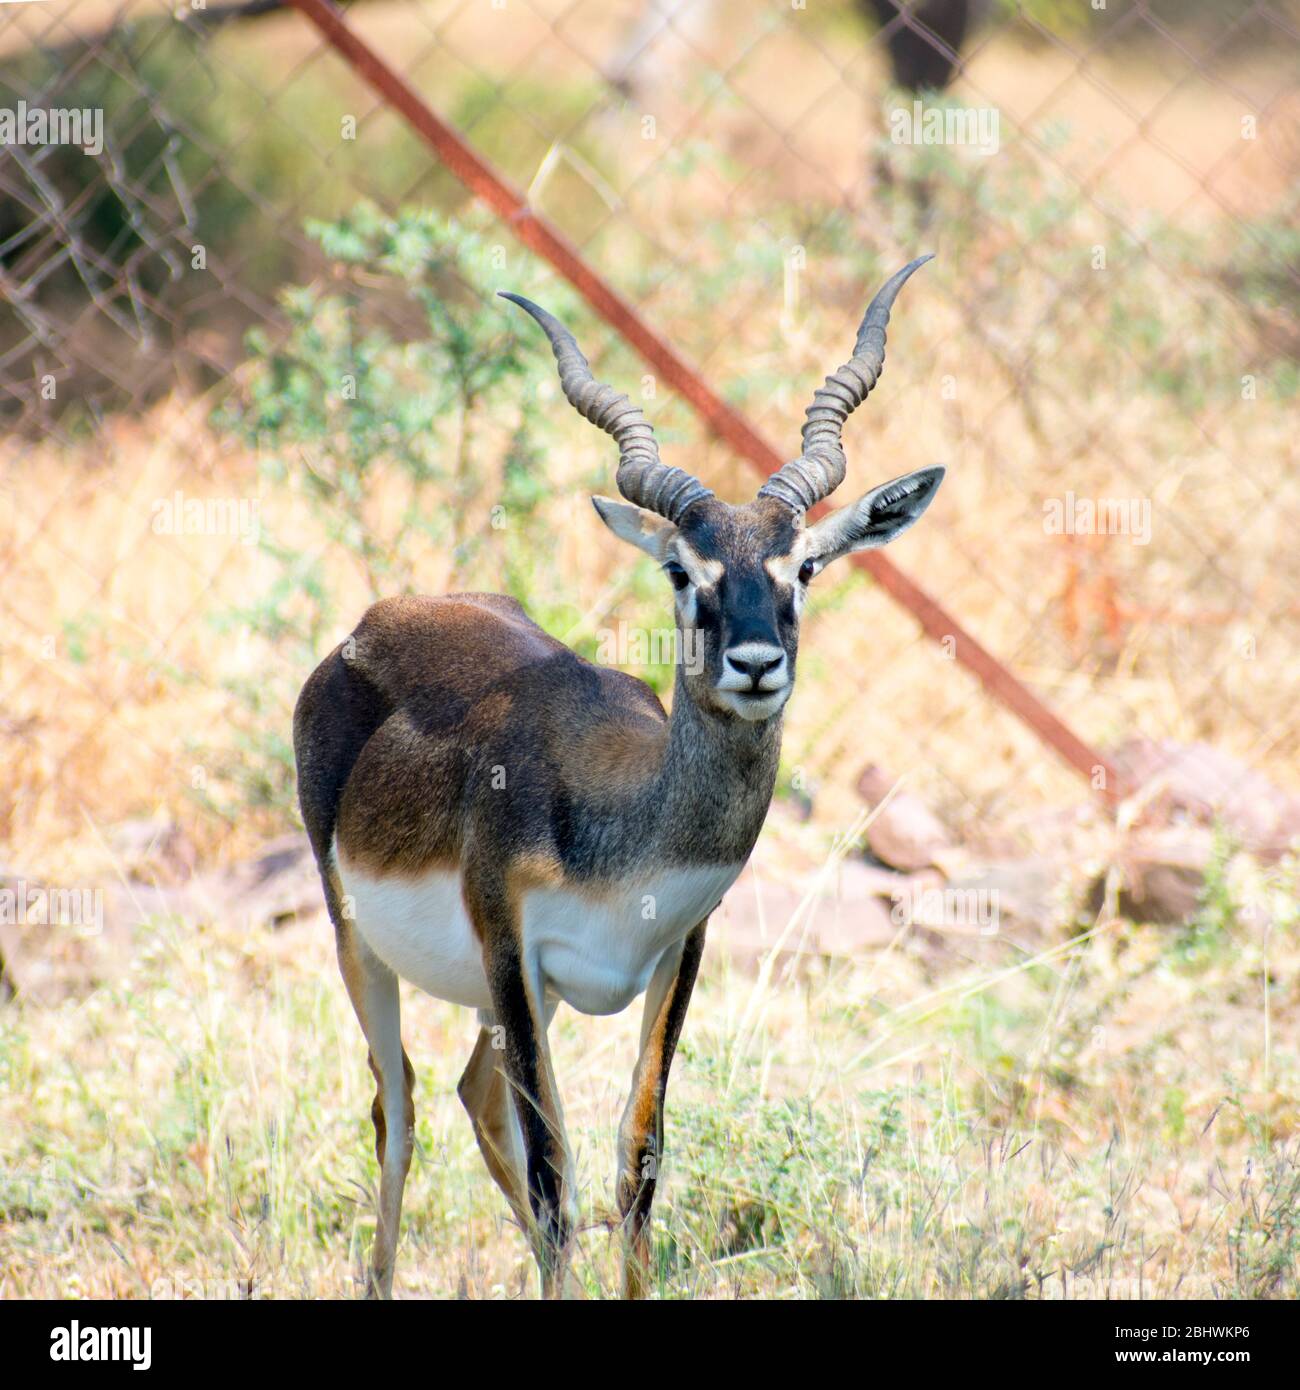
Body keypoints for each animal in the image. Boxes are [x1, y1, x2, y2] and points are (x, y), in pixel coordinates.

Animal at [294, 255, 945, 1299]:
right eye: (683, 571)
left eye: (804, 567)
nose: (755, 664)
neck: (627, 831)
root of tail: (378, 618)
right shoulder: (511, 953)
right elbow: (555, 1175)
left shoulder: (676, 953)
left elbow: (637, 1161)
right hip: (362, 942)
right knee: (396, 1108)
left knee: (474, 1094)